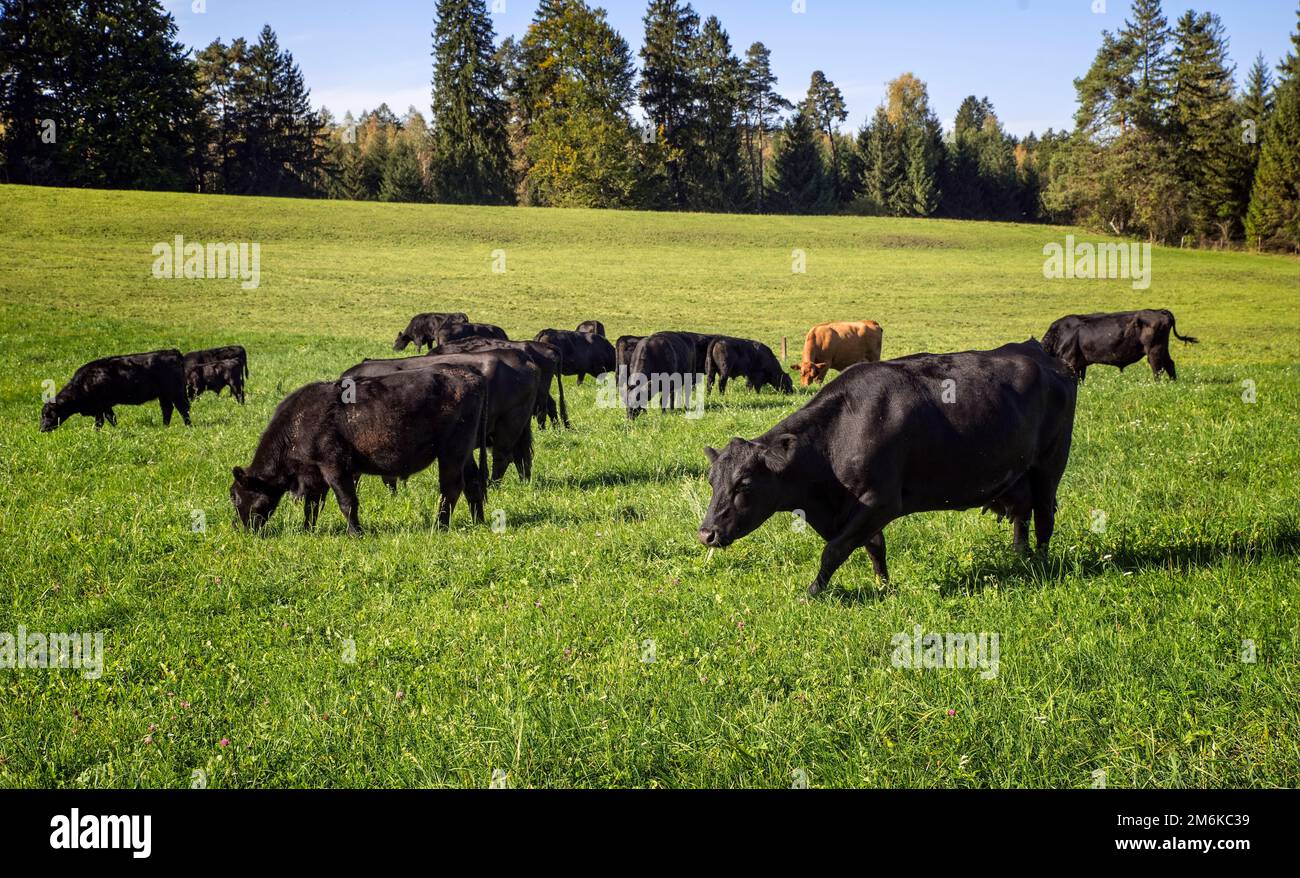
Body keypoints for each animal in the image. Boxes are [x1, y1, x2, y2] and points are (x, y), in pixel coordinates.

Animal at [41, 349, 191, 431]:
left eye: (47, 414)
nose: (41, 429)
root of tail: (172, 352)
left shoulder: (102, 406)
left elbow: (105, 420)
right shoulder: (102, 407)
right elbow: (106, 420)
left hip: (176, 392)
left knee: (183, 408)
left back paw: (188, 426)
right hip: (164, 395)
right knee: (167, 409)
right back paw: (164, 426)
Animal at [231, 366, 489, 535]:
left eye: (234, 497)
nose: (239, 528)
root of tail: (470, 376)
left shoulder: (334, 466)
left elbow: (347, 501)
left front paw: (356, 533)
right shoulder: (313, 473)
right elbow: (312, 505)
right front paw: (307, 531)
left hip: (452, 452)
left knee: (450, 488)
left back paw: (440, 527)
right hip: (465, 453)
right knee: (473, 485)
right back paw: (478, 522)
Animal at [342, 349, 539, 482]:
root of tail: (524, 359)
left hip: (509, 423)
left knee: (502, 457)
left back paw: (493, 484)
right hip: (520, 426)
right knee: (522, 457)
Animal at [698, 340, 1078, 596]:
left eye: (744, 484)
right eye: (712, 482)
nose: (706, 534)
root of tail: (1042, 355)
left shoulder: (880, 501)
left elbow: (834, 549)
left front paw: (813, 591)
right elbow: (873, 547)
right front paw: (884, 586)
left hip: (1049, 467)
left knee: (1044, 516)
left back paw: (1041, 564)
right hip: (1019, 476)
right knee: (1022, 515)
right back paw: (1020, 556)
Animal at [1041, 309, 1198, 381]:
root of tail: (1159, 311)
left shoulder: (1070, 361)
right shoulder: (1081, 364)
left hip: (1154, 349)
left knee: (1157, 368)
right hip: (1162, 348)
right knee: (1169, 364)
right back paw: (1173, 383)